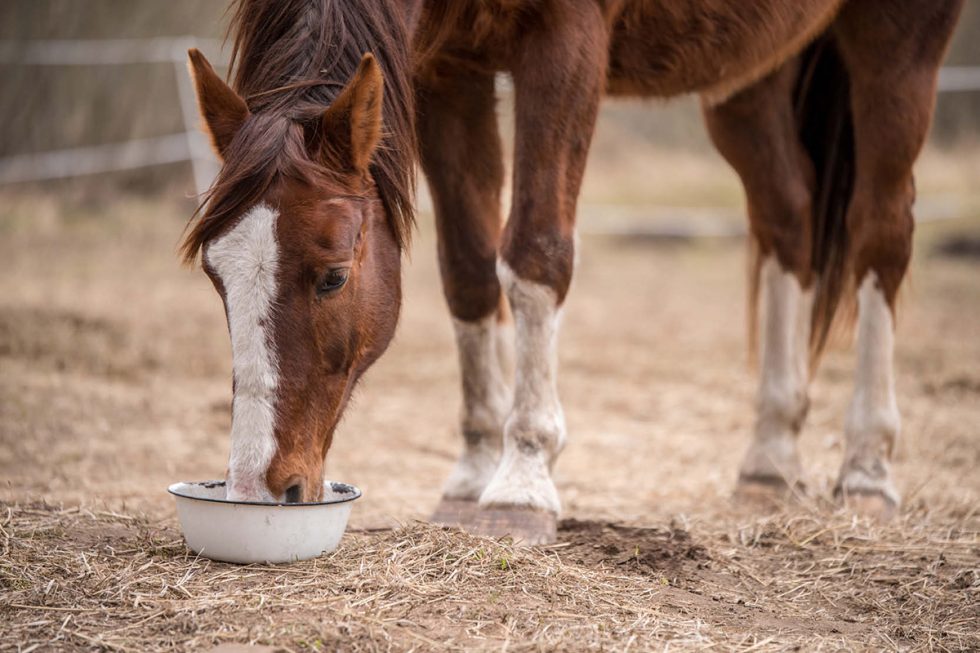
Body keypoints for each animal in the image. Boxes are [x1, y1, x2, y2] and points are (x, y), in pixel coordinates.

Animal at [184, 0, 963, 543]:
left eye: (334, 276)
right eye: (216, 277)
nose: (259, 489)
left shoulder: (564, 42)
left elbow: (535, 250)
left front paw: (522, 481)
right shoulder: (447, 70)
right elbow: (468, 267)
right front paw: (473, 472)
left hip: (897, 45)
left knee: (881, 233)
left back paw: (867, 470)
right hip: (751, 76)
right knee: (787, 219)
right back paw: (769, 457)